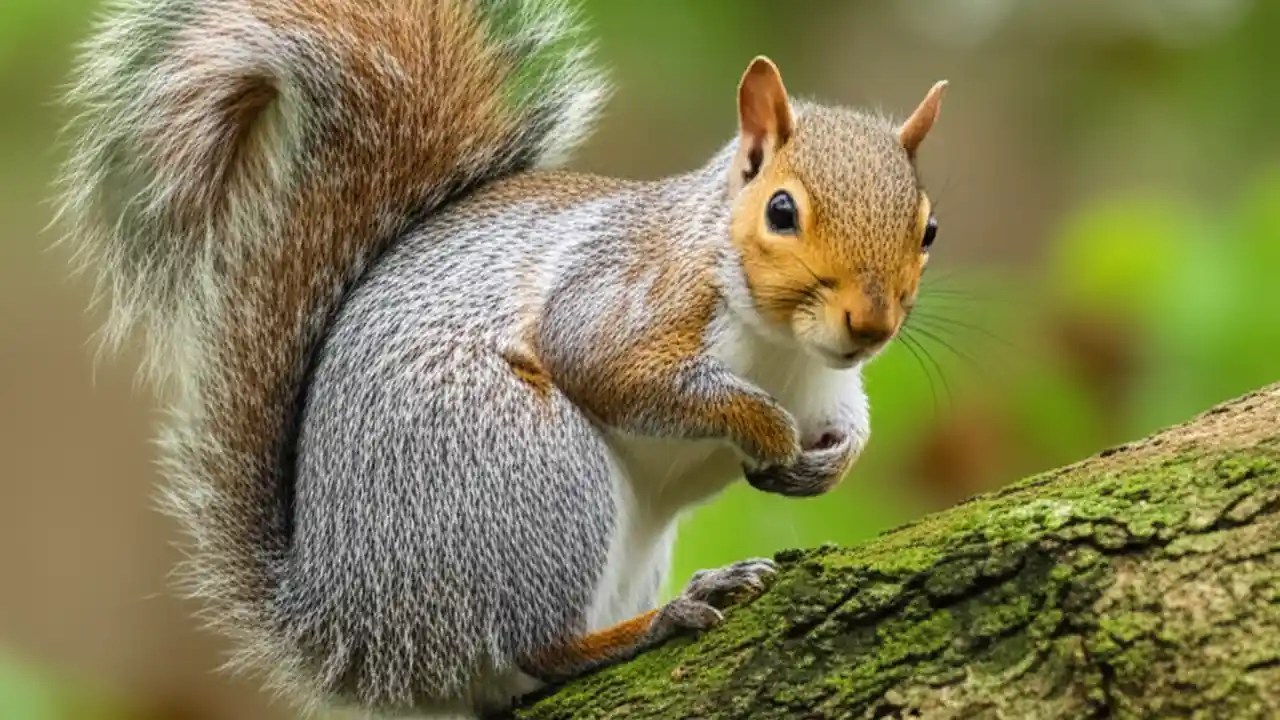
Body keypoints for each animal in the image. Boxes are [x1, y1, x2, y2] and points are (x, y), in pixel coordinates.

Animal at [58, 0, 945, 716]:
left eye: (929, 227)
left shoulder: (830, 382)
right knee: (538, 651)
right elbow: (616, 371)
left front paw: (829, 461)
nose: (870, 323)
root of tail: (350, 632)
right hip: (531, 468)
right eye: (782, 211)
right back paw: (664, 618)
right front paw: (762, 428)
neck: (782, 348)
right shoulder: (623, 296)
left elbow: (849, 423)